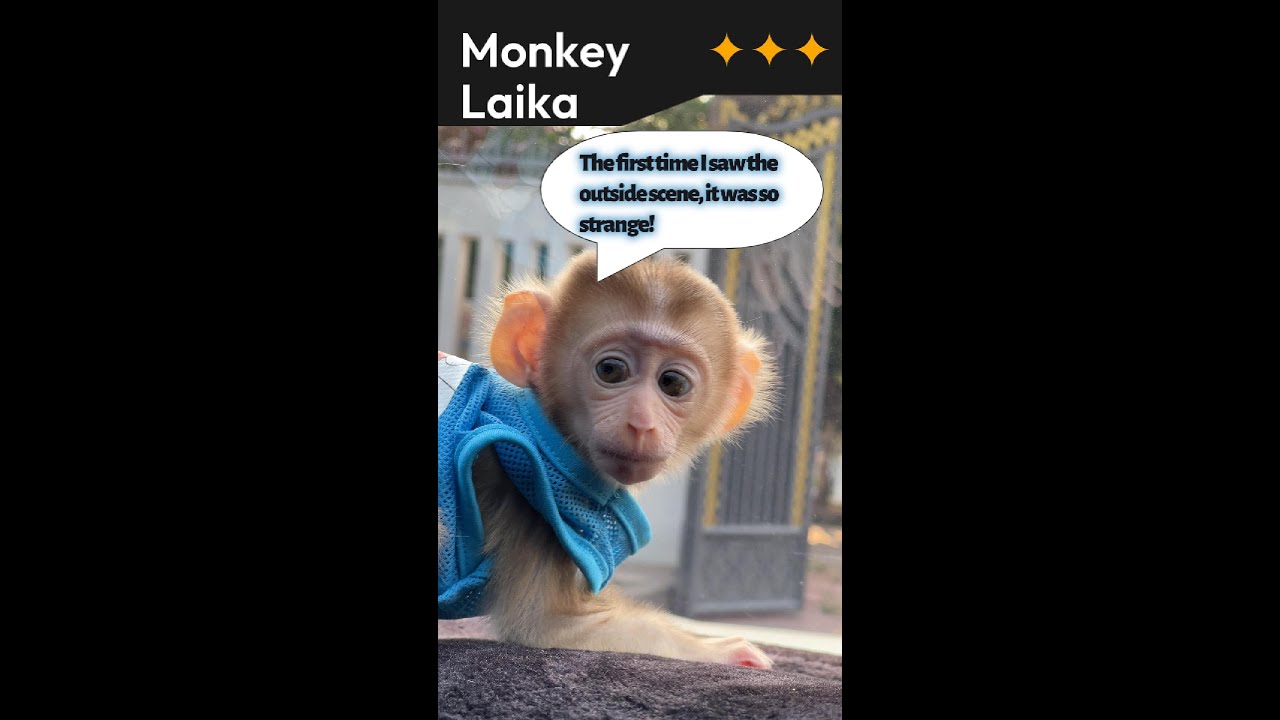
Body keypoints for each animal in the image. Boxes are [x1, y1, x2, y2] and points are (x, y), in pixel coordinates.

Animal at [438, 251, 778, 669]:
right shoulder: (535, 497)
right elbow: (545, 627)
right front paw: (720, 650)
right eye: (611, 370)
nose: (641, 422)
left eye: (673, 383)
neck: (543, 427)